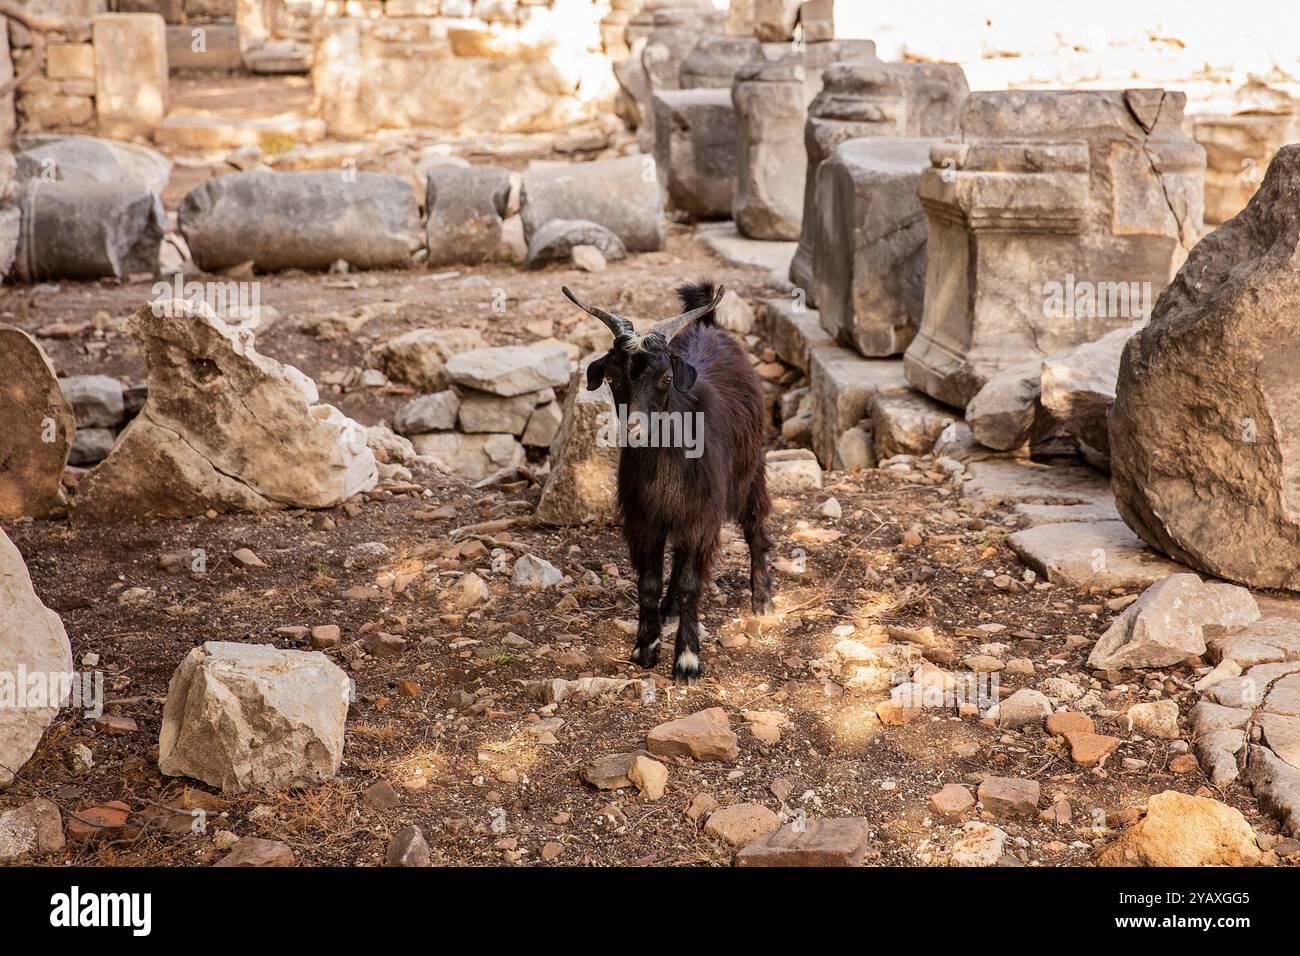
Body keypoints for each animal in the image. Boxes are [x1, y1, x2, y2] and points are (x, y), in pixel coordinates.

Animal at [561, 280, 774, 684]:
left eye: (666, 378)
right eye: (613, 378)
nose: (635, 431)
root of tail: (709, 323)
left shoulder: (701, 518)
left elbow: (693, 585)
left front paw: (687, 661)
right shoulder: (645, 520)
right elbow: (648, 584)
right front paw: (646, 646)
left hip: (750, 472)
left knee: (756, 528)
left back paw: (763, 598)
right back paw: (669, 606)